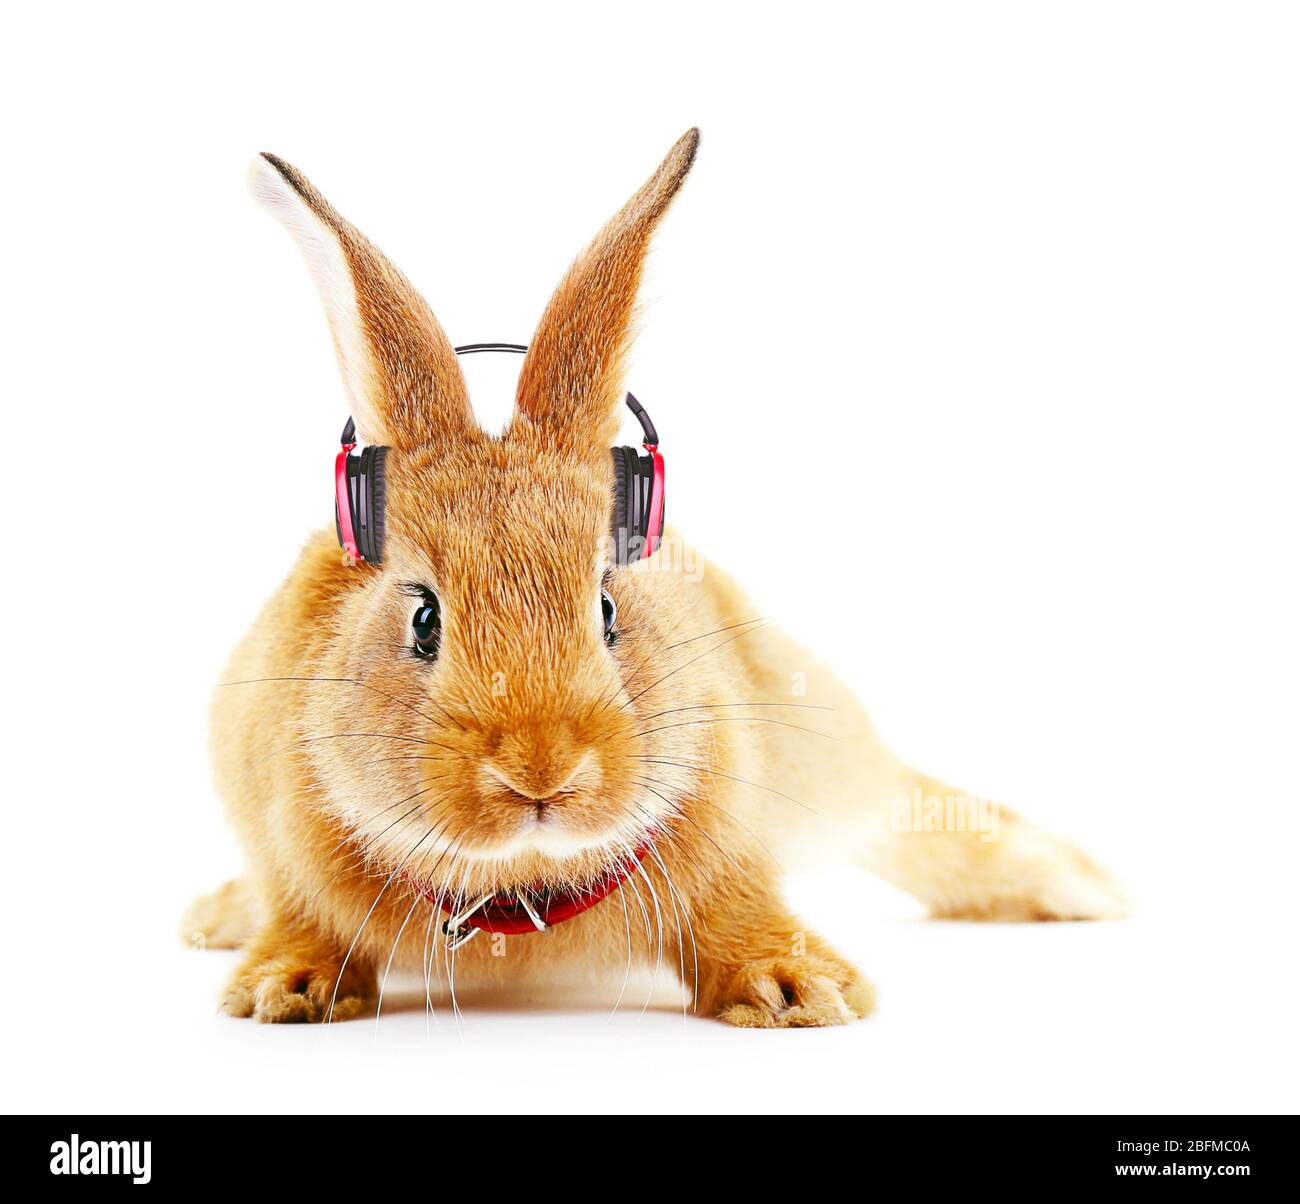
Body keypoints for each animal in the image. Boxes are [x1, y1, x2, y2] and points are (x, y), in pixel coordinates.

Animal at [185, 128, 1129, 1027]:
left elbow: (739, 914)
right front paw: (282, 988)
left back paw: (1080, 886)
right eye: (423, 620)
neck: (520, 887)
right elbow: (300, 918)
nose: (543, 771)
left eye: (608, 605)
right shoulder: (284, 846)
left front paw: (800, 990)